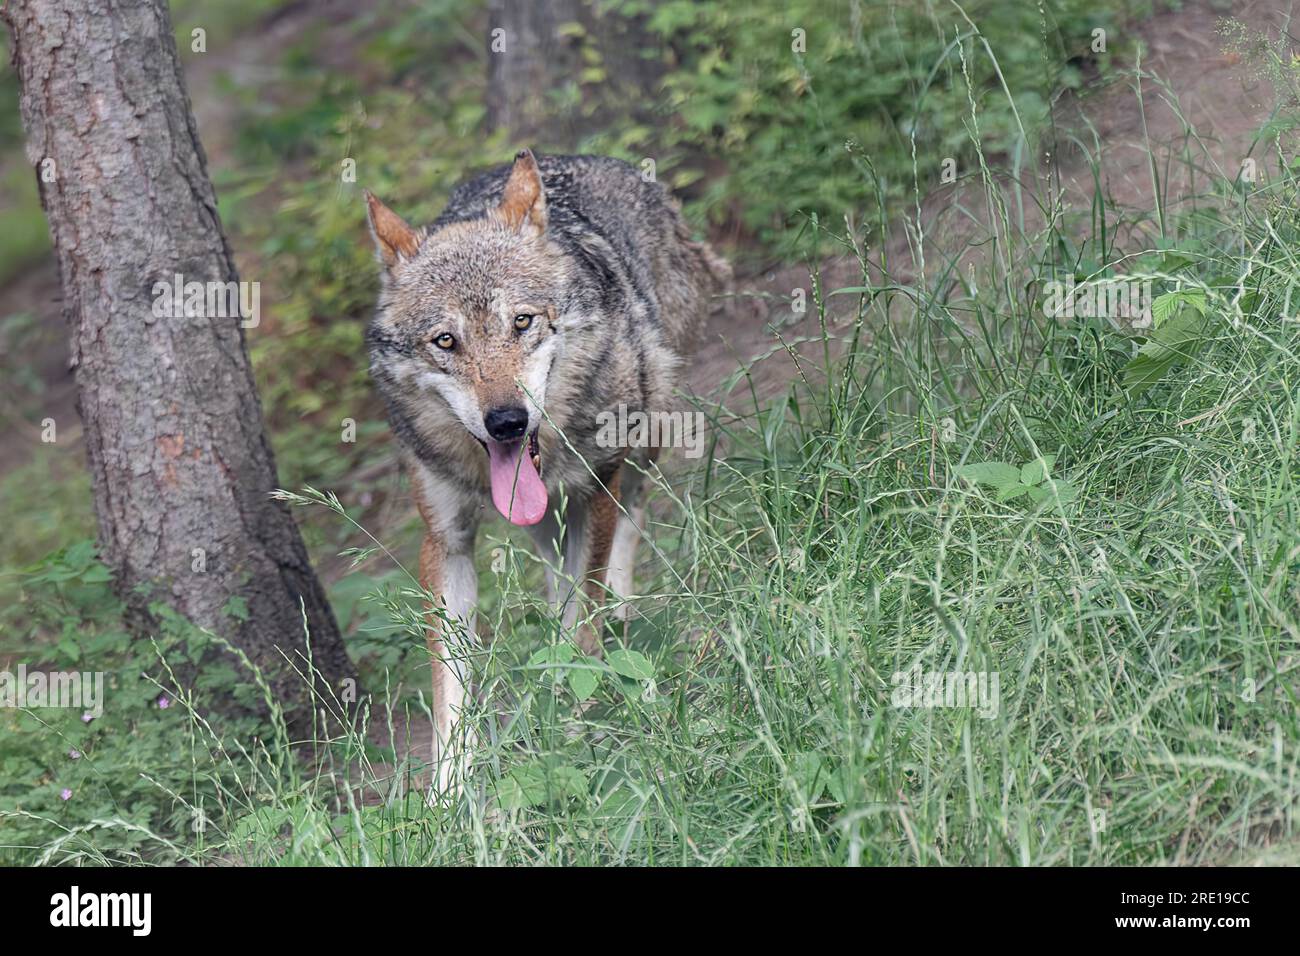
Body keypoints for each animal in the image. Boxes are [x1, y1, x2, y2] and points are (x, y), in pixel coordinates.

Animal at [364, 150, 727, 795]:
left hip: (646, 433)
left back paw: (619, 612)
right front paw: (448, 794)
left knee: (628, 524)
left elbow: (580, 617)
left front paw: (578, 724)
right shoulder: (446, 542)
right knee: (558, 576)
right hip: (544, 521)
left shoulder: (598, 486)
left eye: (523, 322)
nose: (507, 421)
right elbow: (450, 684)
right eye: (446, 341)